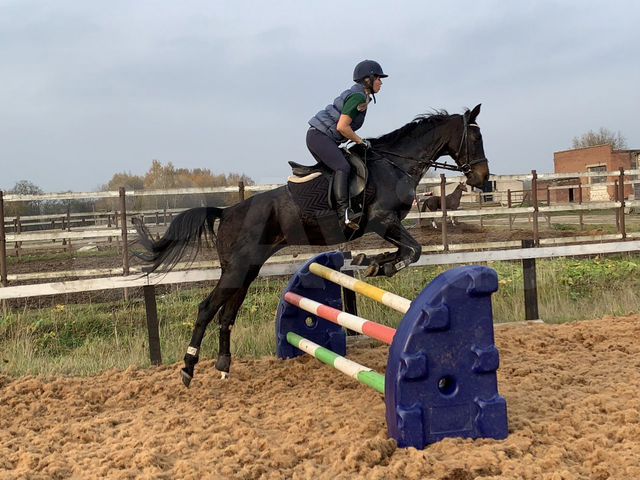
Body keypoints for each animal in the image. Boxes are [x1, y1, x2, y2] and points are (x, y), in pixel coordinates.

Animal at [133, 104, 490, 387]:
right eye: (475, 138)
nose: (482, 178)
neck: (394, 165)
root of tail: (227, 211)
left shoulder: (387, 225)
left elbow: (407, 251)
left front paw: (374, 261)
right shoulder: (382, 220)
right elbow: (414, 250)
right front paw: (379, 264)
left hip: (246, 270)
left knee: (227, 313)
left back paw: (223, 365)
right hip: (237, 270)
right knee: (207, 309)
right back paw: (188, 367)